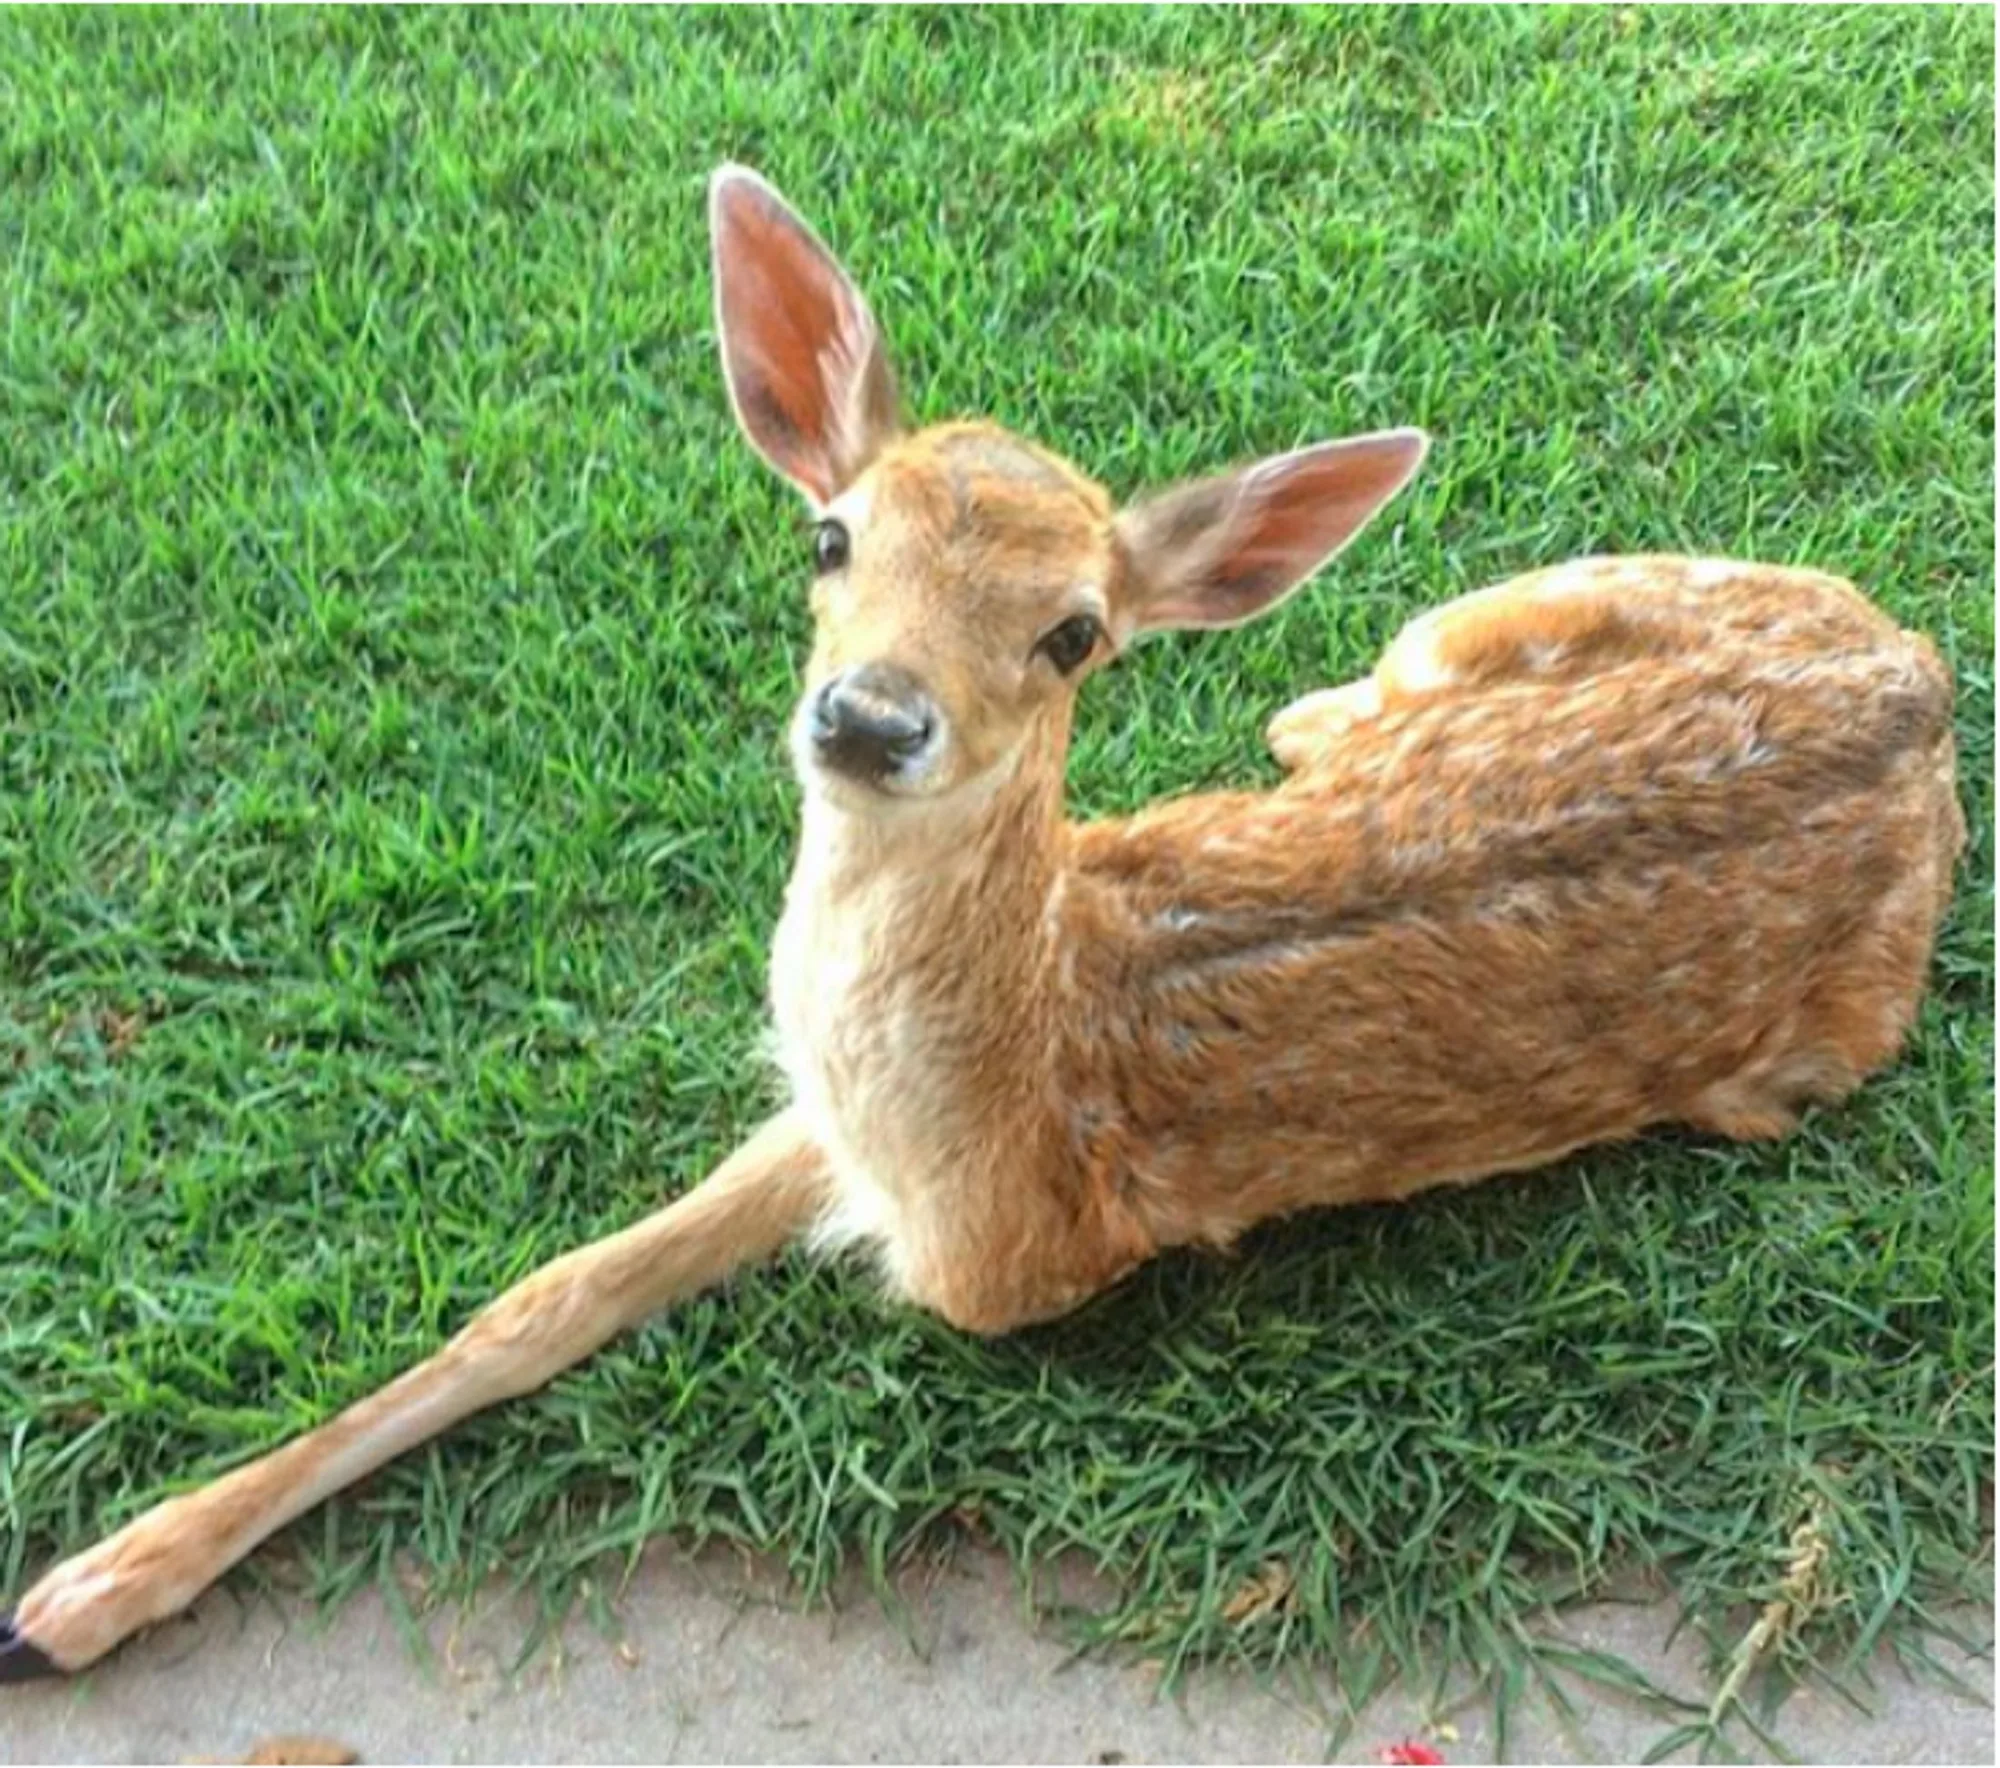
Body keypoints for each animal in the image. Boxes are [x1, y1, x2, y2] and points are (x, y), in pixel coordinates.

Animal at [1, 166, 1964, 1684]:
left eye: (1074, 631)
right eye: (829, 534)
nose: (871, 719)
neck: (1027, 1034)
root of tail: (1927, 684)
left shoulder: (987, 1268)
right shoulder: (815, 1117)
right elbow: (544, 1295)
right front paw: (80, 1587)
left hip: (1787, 1019)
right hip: (1523, 604)